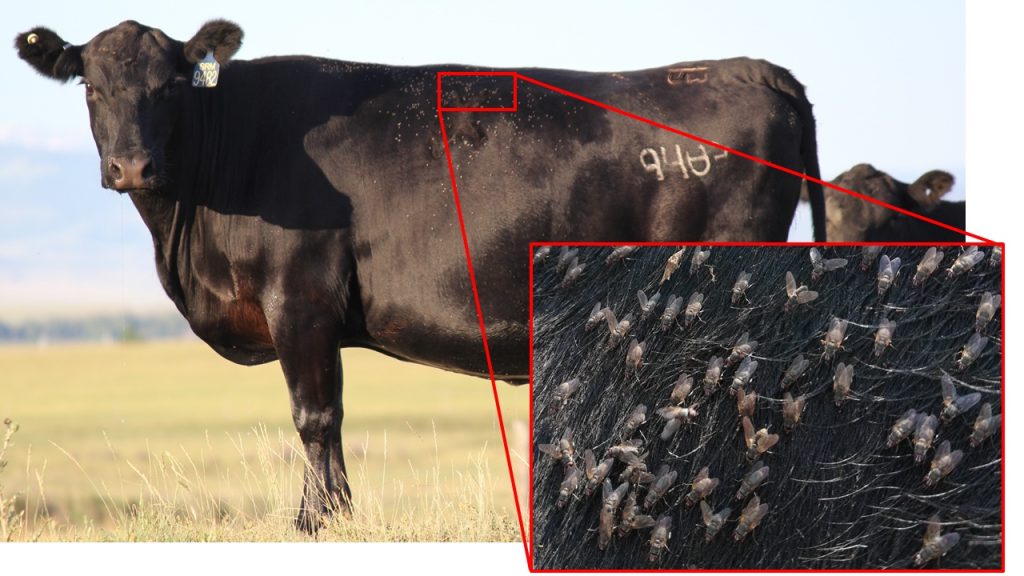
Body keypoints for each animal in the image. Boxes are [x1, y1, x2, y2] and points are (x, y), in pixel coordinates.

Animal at [15, 19, 825, 532]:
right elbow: (326, 418)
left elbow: (315, 416)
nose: (131, 165)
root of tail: (752, 68)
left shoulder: (299, 299)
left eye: (168, 87)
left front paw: (318, 522)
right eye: (90, 87)